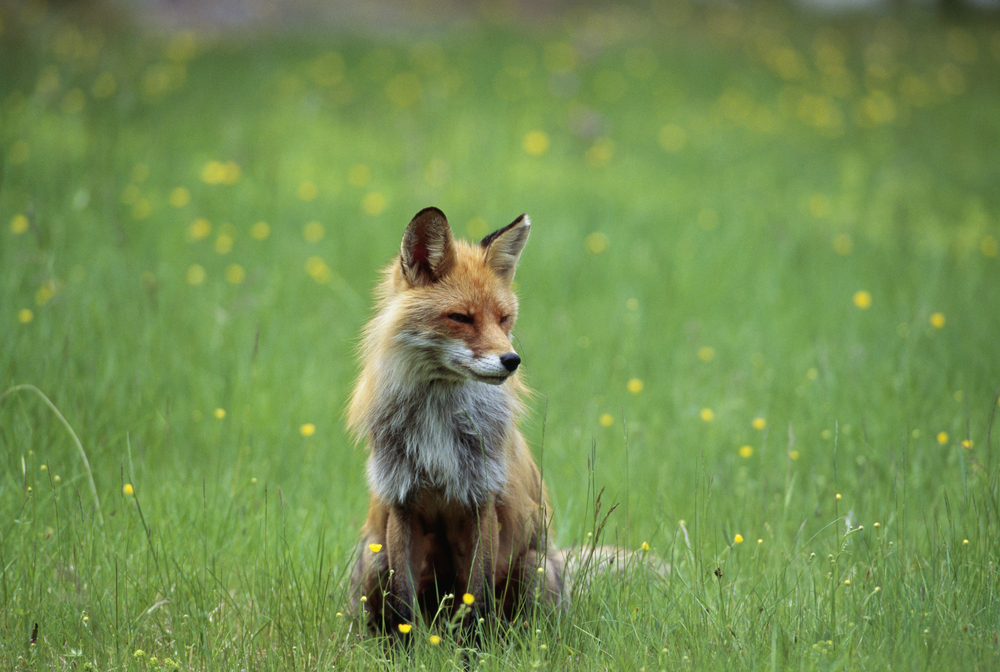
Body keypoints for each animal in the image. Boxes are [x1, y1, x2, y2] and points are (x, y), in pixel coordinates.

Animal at [346, 207, 564, 638]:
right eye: (461, 318)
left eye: (504, 318)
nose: (511, 361)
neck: (437, 421)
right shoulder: (401, 499)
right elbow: (404, 609)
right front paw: (410, 651)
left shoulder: (481, 499)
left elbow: (476, 599)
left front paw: (474, 650)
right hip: (374, 559)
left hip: (533, 567)